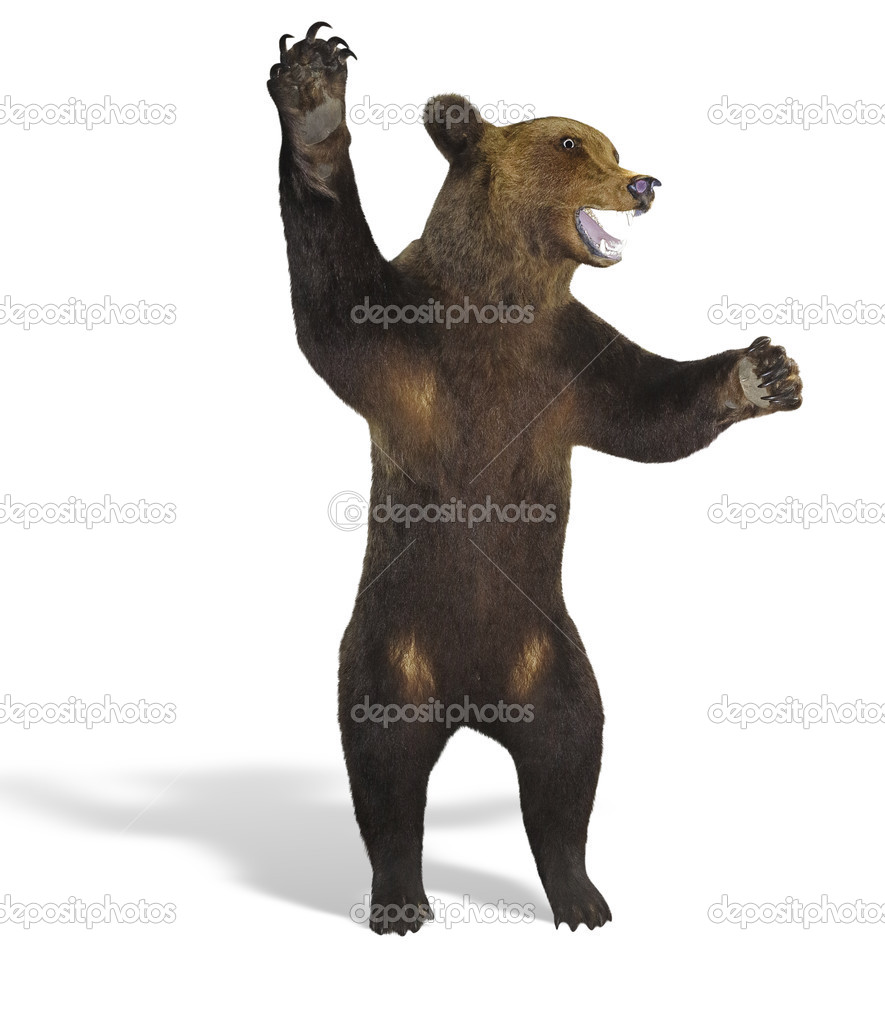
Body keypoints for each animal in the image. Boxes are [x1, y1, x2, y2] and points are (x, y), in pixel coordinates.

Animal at [267, 22, 802, 934]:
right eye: (569, 143)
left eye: (611, 143)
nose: (644, 182)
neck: (503, 297)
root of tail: (472, 703)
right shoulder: (413, 342)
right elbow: (335, 301)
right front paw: (313, 92)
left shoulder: (571, 361)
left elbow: (654, 412)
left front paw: (764, 371)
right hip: (388, 651)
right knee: (384, 771)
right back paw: (400, 901)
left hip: (553, 662)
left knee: (566, 767)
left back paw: (580, 895)